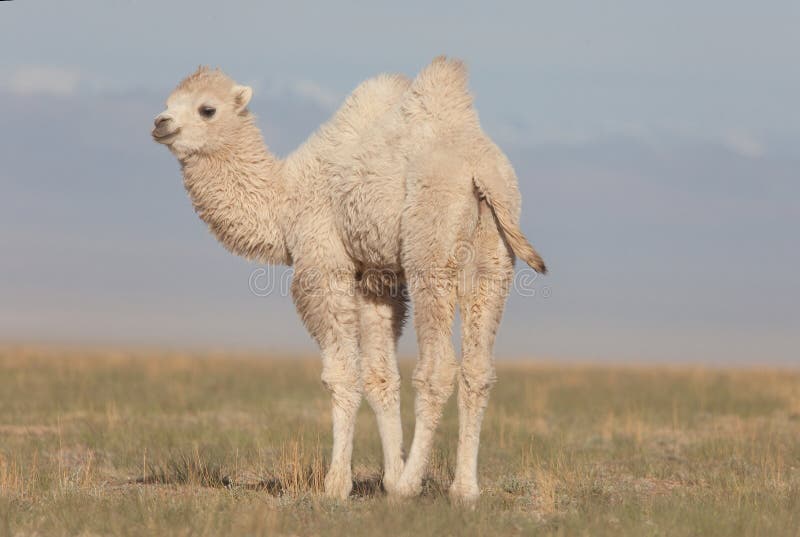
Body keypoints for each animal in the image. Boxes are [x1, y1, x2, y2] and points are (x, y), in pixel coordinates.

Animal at [151, 57, 546, 502]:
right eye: (168, 101)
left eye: (207, 109)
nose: (160, 123)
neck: (286, 199)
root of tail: (481, 171)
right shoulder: (376, 276)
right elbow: (380, 376)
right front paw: (388, 474)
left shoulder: (324, 264)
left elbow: (341, 375)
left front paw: (338, 484)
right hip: (494, 256)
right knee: (478, 368)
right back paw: (463, 490)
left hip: (430, 247)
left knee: (439, 366)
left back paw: (411, 485)